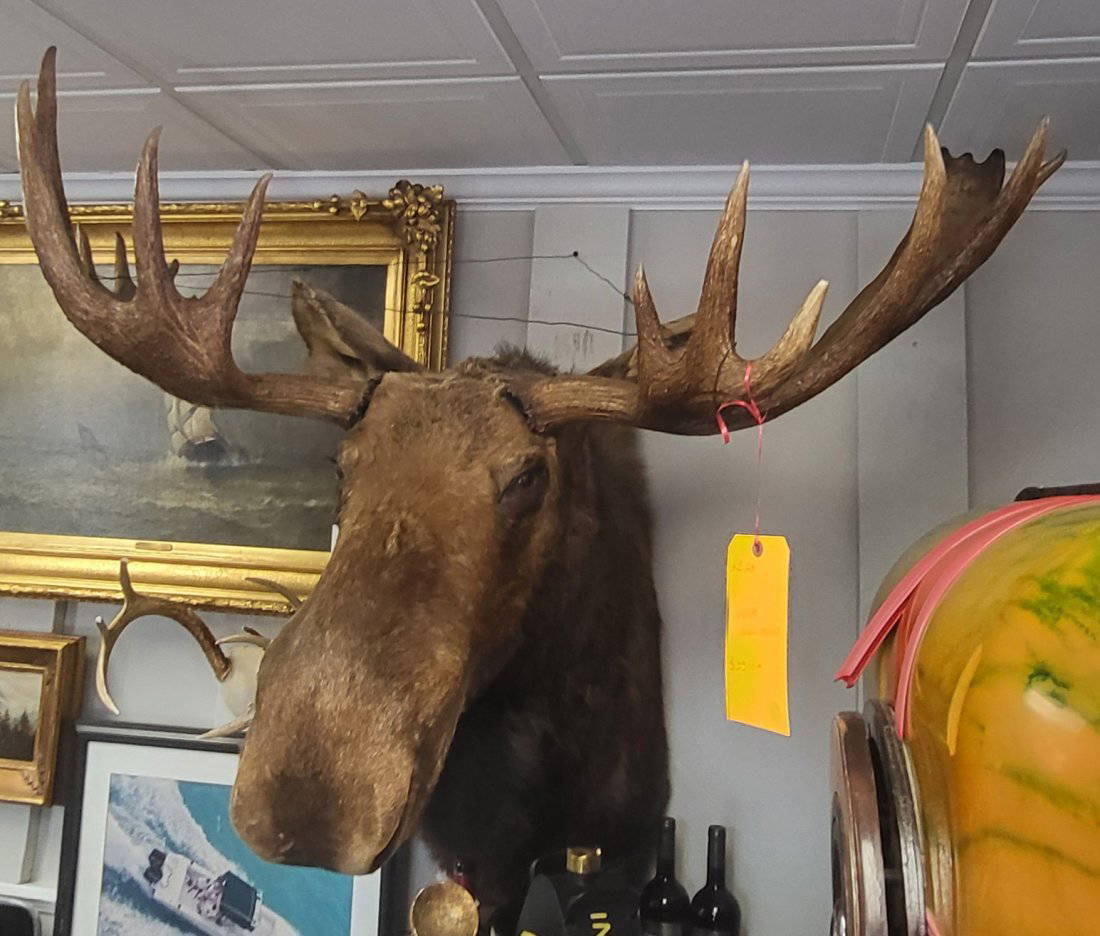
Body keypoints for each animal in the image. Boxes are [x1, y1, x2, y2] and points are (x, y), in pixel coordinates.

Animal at [13, 47, 1062, 922]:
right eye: (341, 467)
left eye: (528, 476)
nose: (311, 794)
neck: (544, 776)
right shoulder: (476, 861)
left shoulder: (617, 837)